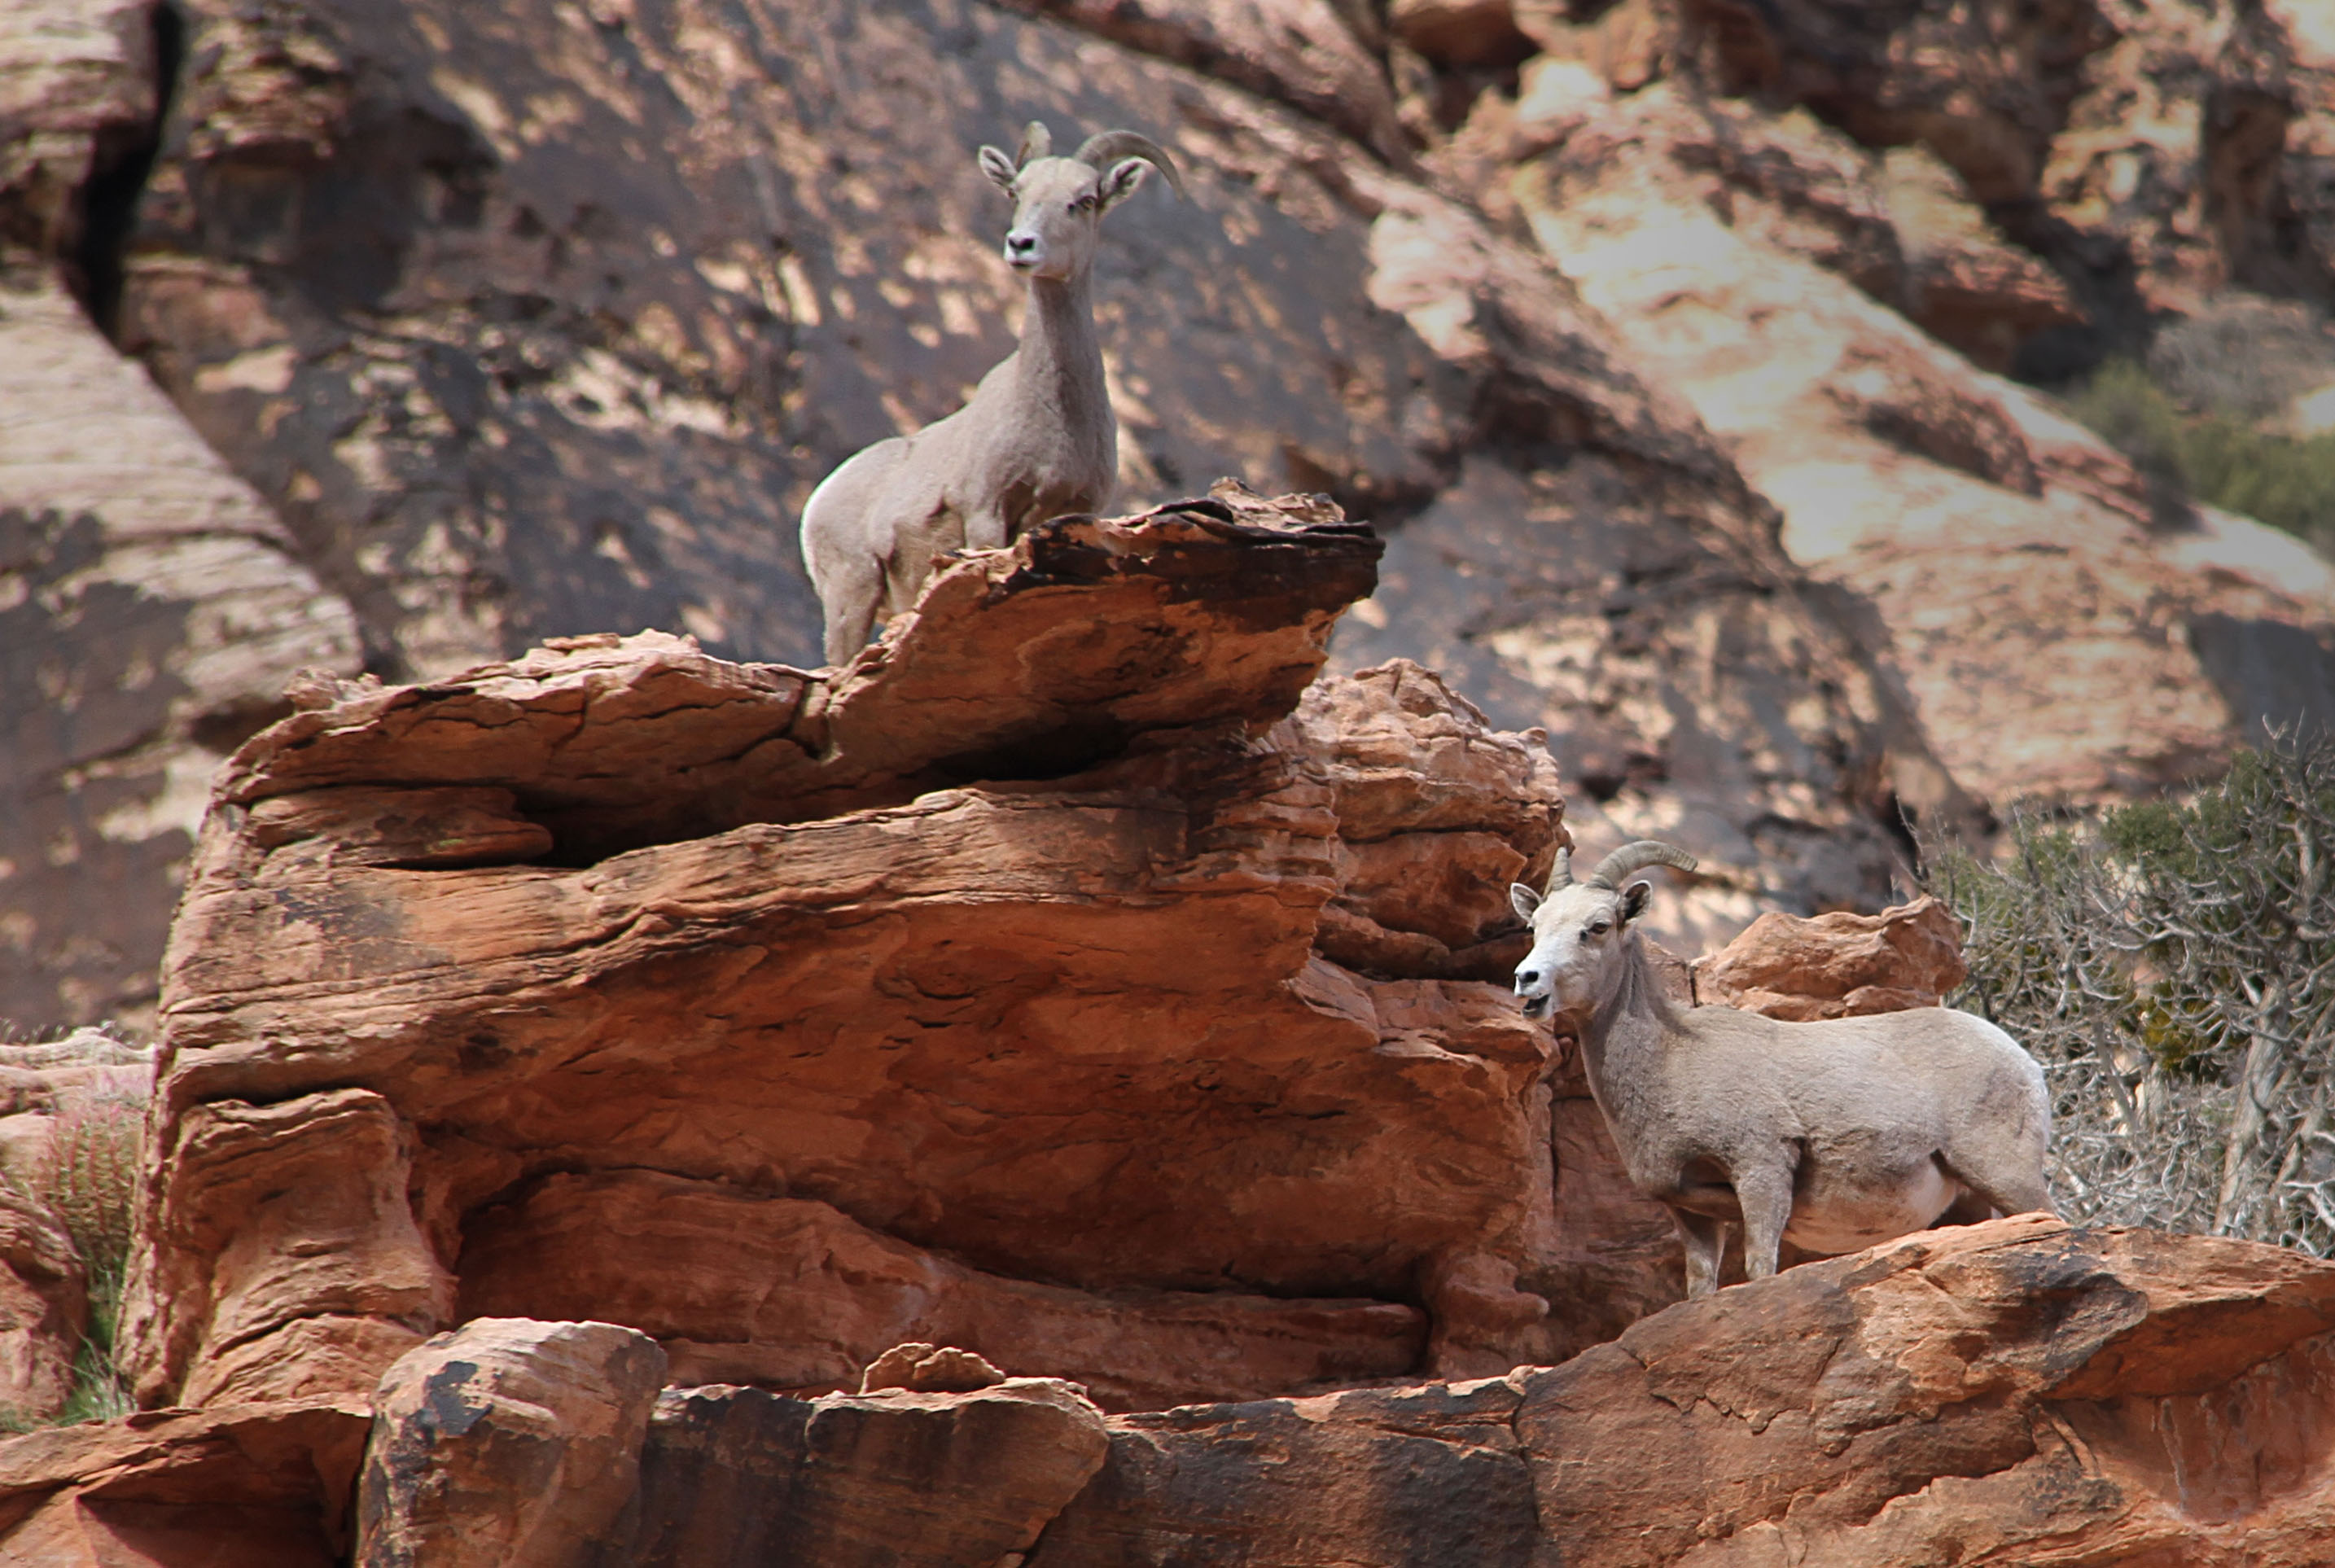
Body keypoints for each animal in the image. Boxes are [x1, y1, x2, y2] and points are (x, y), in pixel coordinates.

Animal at [799, 121, 1187, 667]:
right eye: (1016, 192)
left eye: (1085, 200)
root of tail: (818, 503)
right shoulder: (988, 514)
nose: (1021, 244)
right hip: (852, 596)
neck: (1055, 418)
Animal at [1510, 840, 2054, 1300]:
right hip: (1966, 1201)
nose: (1526, 980)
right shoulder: (1689, 1210)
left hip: (2003, 1172)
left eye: (1598, 927)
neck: (1670, 1060)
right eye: (1534, 927)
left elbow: (1759, 1268)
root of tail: (2024, 1062)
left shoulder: (1761, 1168)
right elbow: (1700, 1288)